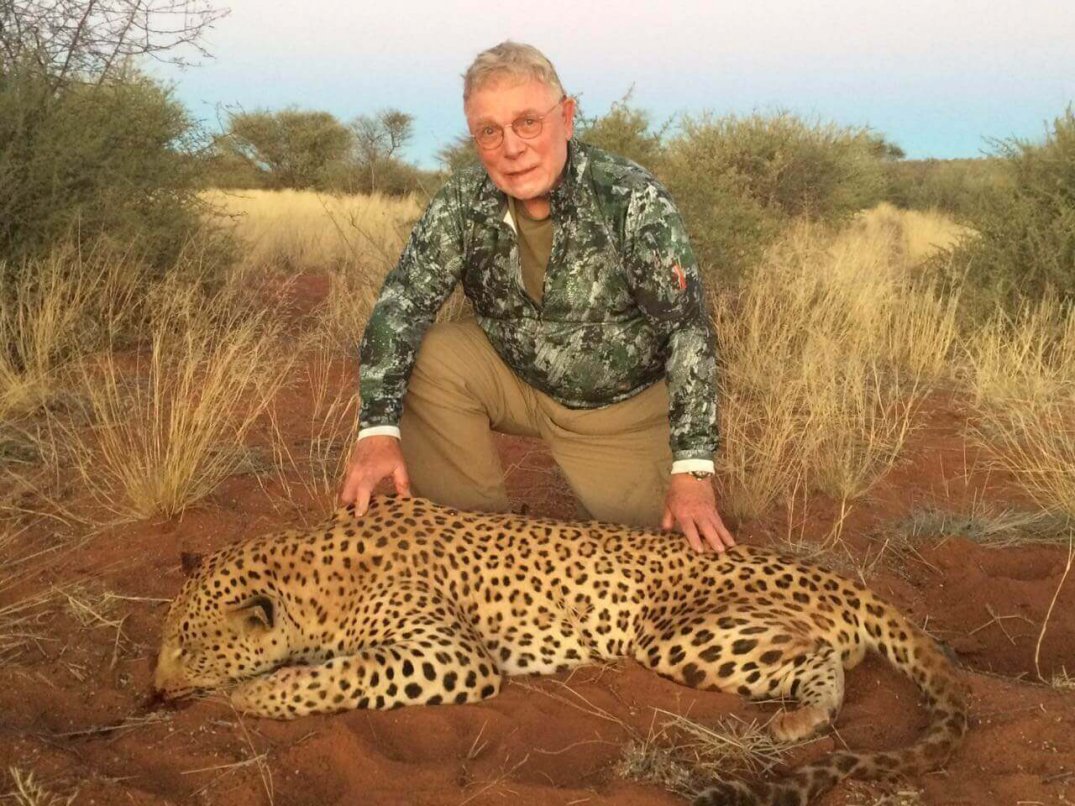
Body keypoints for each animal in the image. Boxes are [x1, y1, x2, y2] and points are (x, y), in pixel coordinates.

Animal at [153, 495, 967, 805]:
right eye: (163, 643)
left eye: (188, 649)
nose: (153, 693)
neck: (310, 572)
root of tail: (833, 574)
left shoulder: (450, 655)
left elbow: (337, 675)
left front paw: (252, 693)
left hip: (679, 636)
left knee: (822, 657)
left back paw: (801, 719)